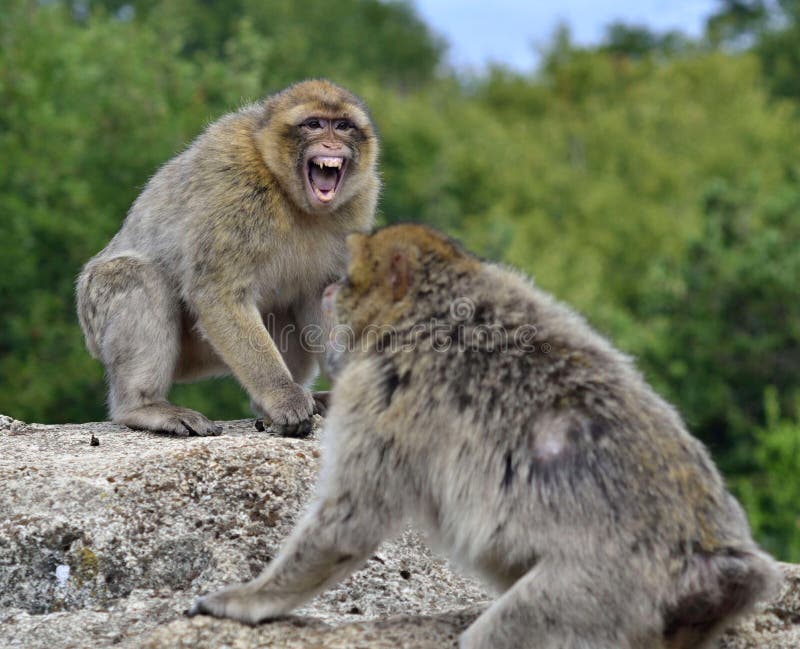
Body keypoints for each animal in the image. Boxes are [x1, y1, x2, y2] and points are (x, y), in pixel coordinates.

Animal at [76, 79, 379, 437]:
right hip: (99, 315)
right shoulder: (236, 187)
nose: (332, 142)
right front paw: (283, 396)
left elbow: (322, 295)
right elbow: (217, 293)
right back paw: (143, 407)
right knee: (139, 277)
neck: (289, 194)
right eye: (314, 124)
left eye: (343, 126)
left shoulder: (360, 200)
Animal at [190, 224, 780, 648]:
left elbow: (350, 520)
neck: (429, 308)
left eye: (348, 279)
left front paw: (251, 599)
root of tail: (713, 566)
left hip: (601, 593)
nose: (330, 291)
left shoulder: (385, 391)